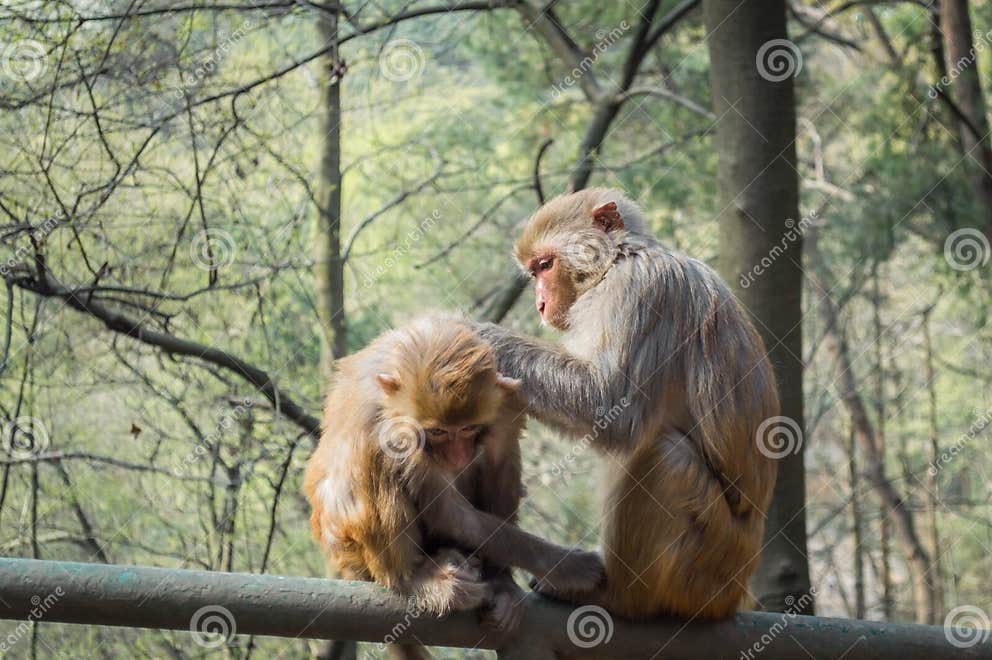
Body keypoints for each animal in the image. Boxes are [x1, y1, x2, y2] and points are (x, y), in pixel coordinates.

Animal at [303, 316, 605, 657]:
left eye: (468, 429)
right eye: (437, 432)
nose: (456, 454)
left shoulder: (505, 400)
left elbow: (500, 449)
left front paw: (510, 579)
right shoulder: (400, 429)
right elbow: (446, 512)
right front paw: (570, 567)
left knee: (497, 452)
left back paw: (498, 582)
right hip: (351, 548)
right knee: (372, 460)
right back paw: (414, 582)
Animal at [475, 188, 780, 620]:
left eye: (545, 265)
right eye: (533, 272)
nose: (539, 304)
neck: (617, 260)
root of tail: (737, 591)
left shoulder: (640, 289)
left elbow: (613, 407)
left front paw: (481, 335)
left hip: (708, 567)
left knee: (666, 458)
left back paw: (615, 595)